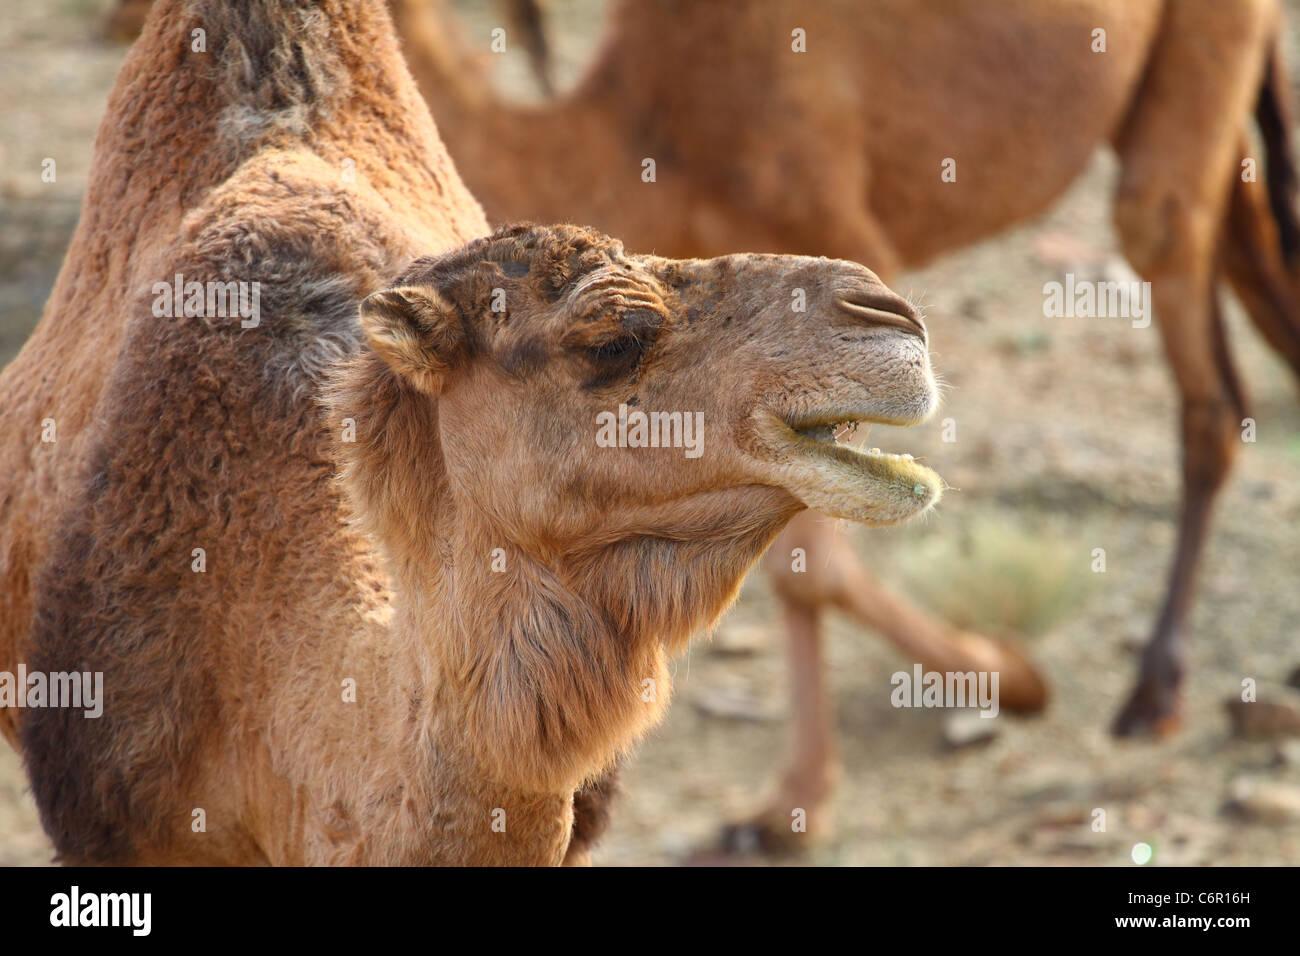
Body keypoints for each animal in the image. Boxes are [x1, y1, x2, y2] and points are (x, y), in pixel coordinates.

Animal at [392, 0, 1300, 851]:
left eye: (612, 343)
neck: (645, 126)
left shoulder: (838, 246)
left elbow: (813, 565)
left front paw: (1004, 677)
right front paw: (789, 806)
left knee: (1195, 337)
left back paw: (1156, 694)